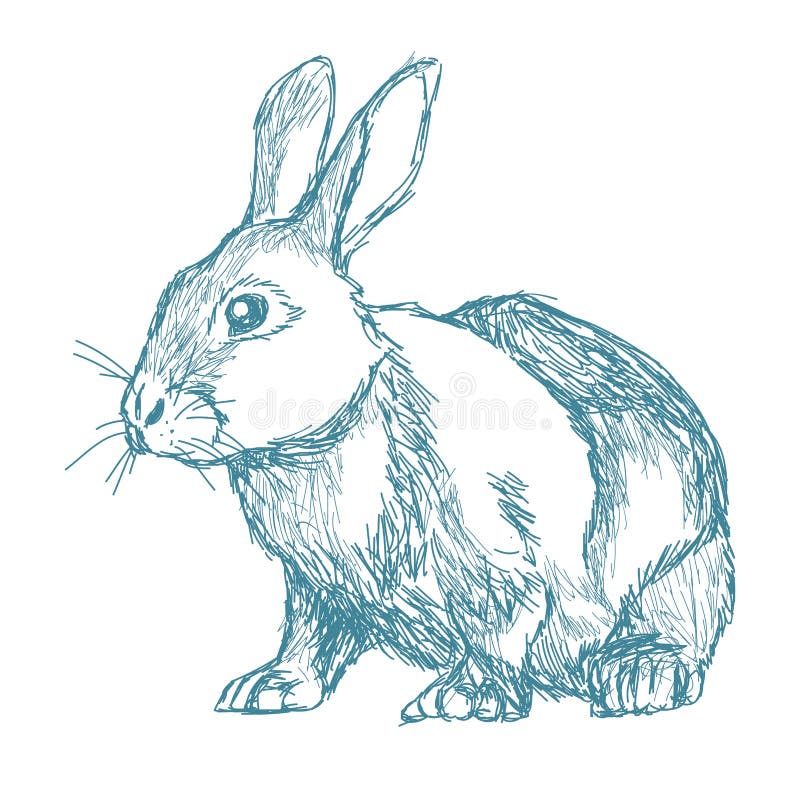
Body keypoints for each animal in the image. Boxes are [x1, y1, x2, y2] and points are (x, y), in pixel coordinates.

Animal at [106, 56, 733, 721]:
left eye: (246, 312)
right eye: (172, 288)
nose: (142, 413)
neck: (329, 435)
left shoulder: (504, 555)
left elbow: (498, 629)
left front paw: (466, 699)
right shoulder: (316, 586)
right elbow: (307, 636)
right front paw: (268, 688)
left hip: (677, 557)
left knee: (676, 627)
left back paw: (641, 674)